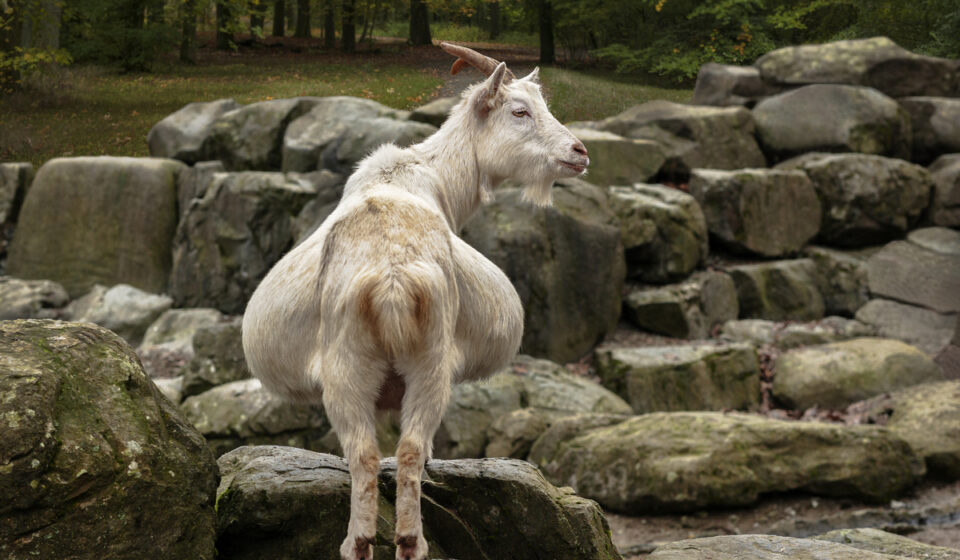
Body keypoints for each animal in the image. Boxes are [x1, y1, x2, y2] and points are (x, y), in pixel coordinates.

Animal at [241, 42, 589, 560]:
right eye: (519, 110)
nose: (579, 152)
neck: (425, 177)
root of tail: (392, 277)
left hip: (361, 365)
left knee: (372, 453)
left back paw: (377, 541)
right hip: (424, 359)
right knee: (400, 449)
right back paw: (404, 540)